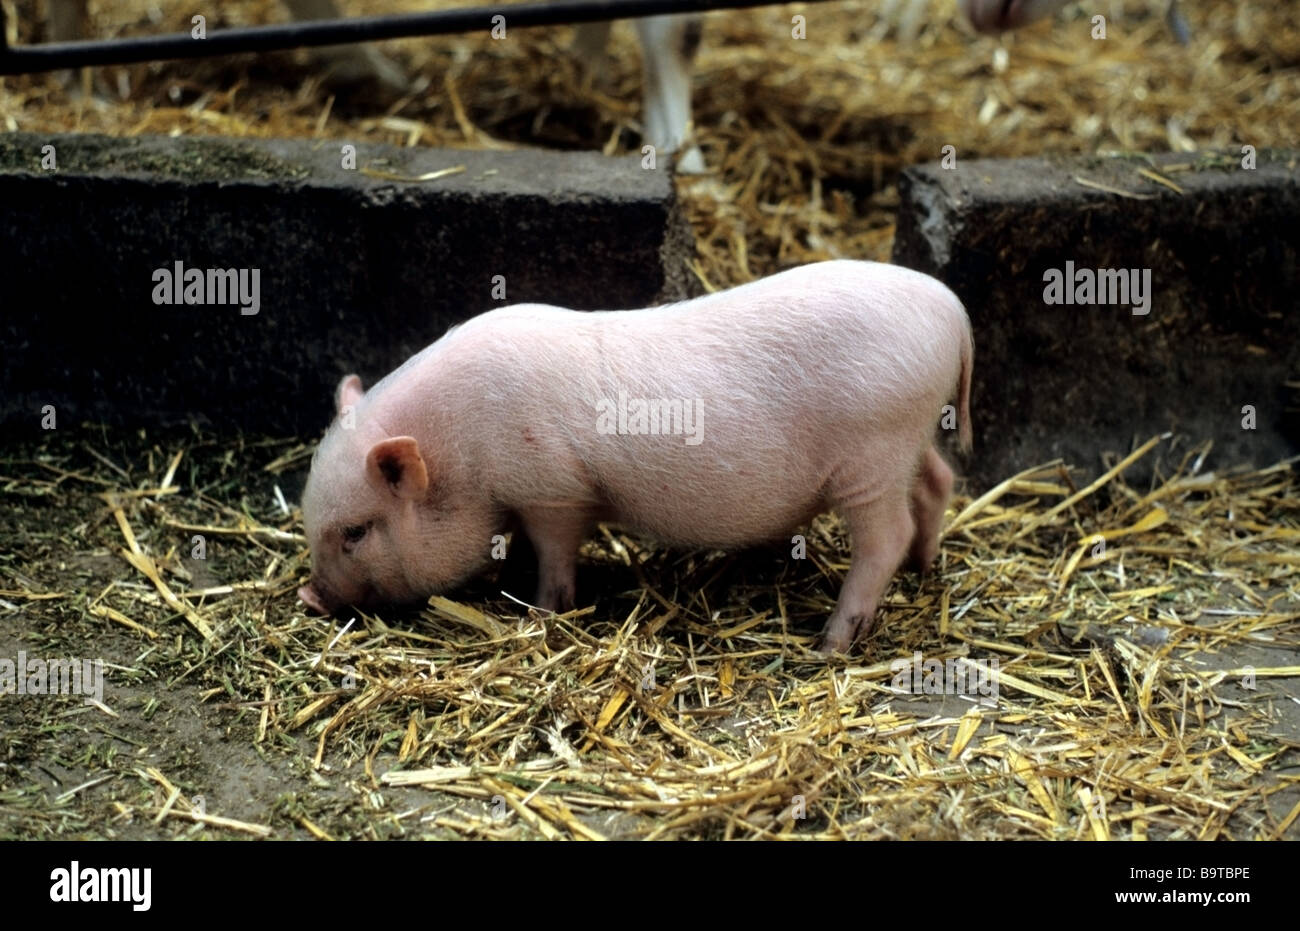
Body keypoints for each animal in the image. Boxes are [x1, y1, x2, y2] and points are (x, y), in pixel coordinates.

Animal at [298, 260, 973, 654]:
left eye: (356, 531)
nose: (310, 597)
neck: (461, 454)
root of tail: (953, 309)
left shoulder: (554, 488)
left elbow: (554, 554)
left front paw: (543, 611)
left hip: (873, 454)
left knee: (885, 536)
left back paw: (831, 643)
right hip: (910, 440)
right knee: (938, 482)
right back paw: (923, 568)